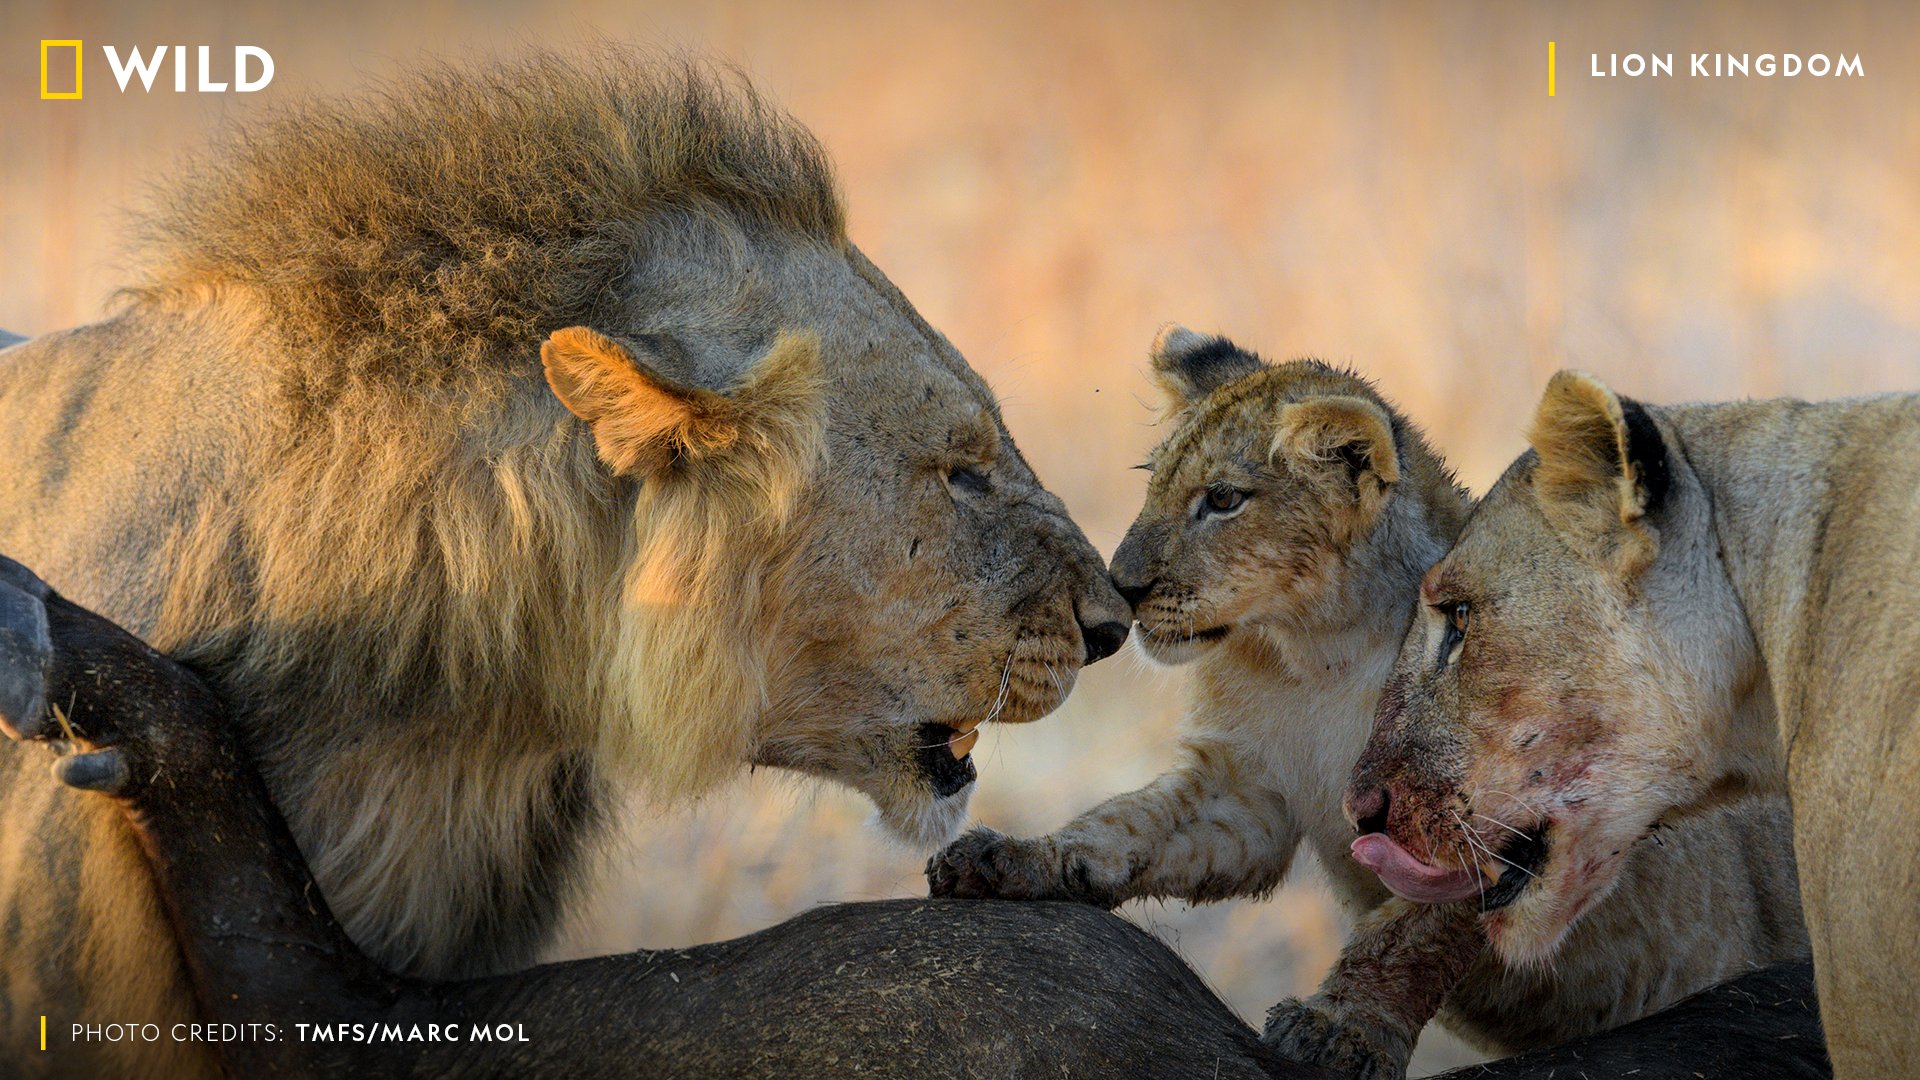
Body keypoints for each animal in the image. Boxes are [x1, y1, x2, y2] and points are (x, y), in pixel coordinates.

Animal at [929, 331, 1809, 1078]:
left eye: (1224, 499)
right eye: (1158, 482)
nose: (1126, 587)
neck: (1314, 653)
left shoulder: (1495, 799)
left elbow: (1406, 934)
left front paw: (1338, 1027)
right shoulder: (1244, 791)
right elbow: (1124, 825)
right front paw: (1016, 857)